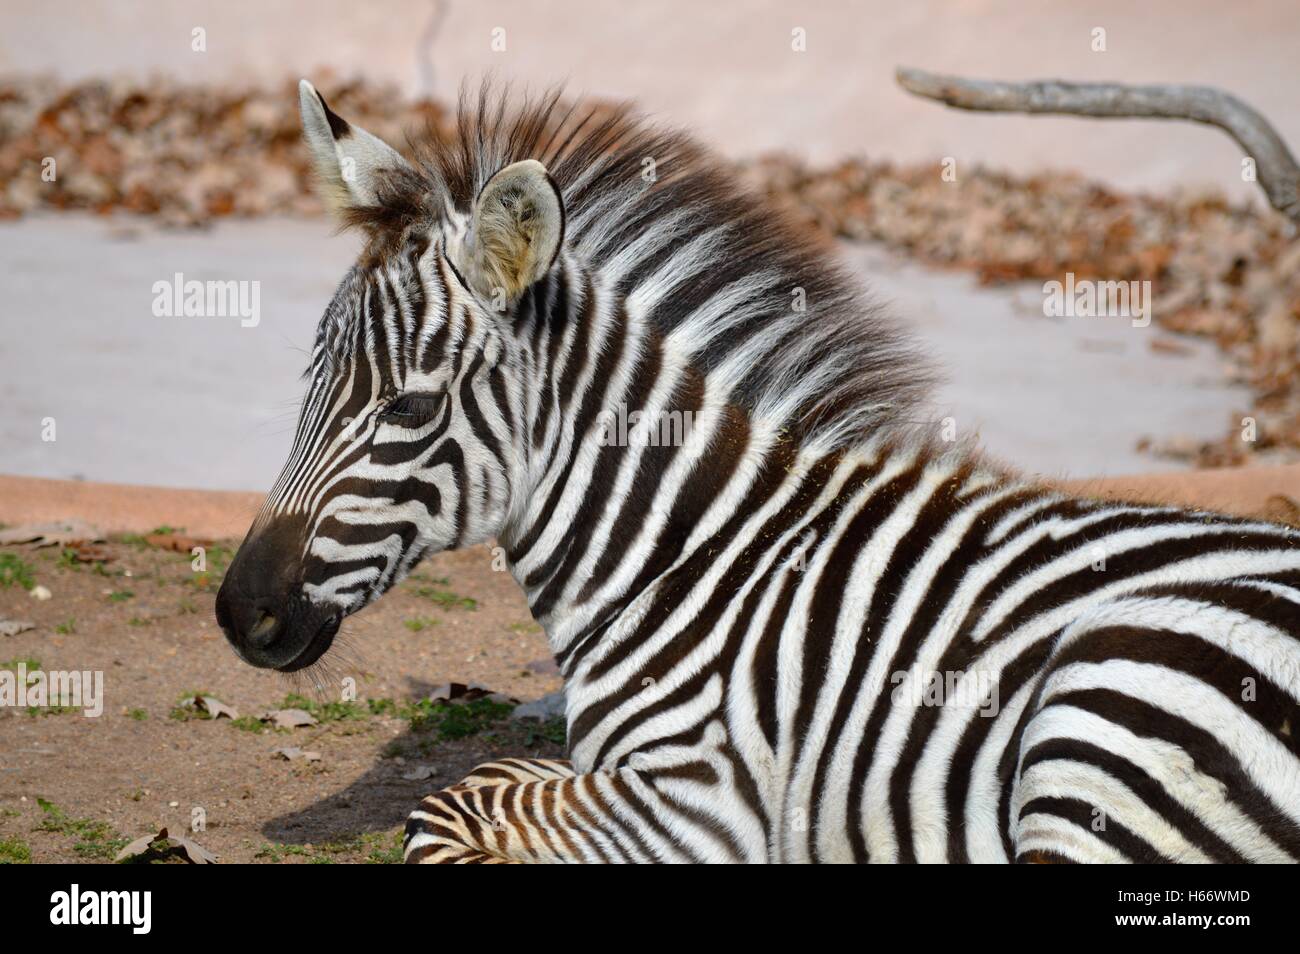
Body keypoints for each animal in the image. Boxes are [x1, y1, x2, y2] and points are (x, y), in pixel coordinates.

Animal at [214, 79, 1300, 864]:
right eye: (311, 382)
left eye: (409, 409)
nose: (239, 613)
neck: (691, 556)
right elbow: (479, 785)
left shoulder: (706, 799)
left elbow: (440, 812)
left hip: (1105, 709)